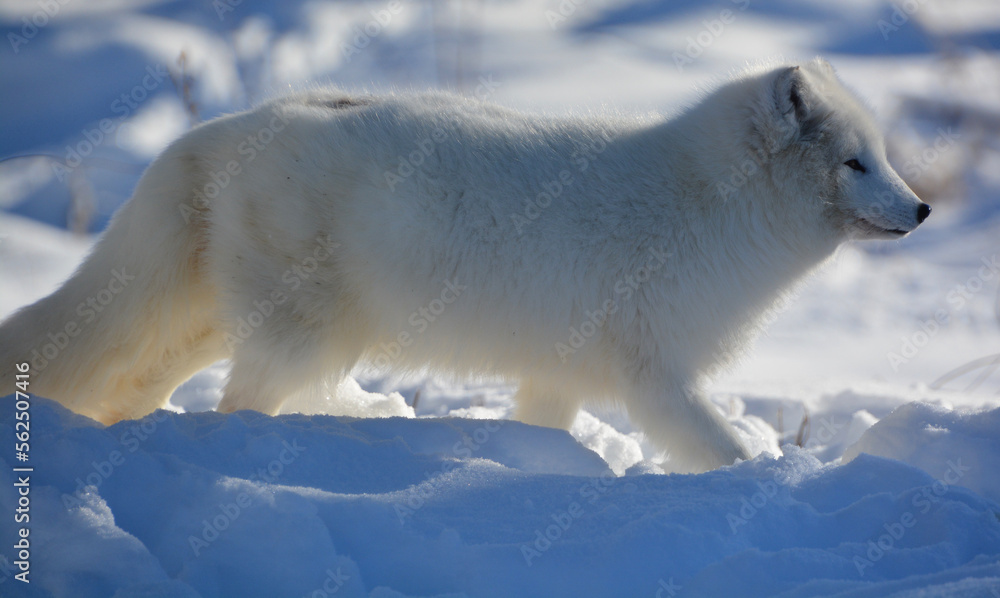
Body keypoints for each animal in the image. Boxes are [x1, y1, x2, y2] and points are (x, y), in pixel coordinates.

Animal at [0, 58, 928, 472]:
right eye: (855, 164)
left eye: (883, 158)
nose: (922, 210)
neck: (709, 205)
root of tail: (224, 127)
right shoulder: (657, 375)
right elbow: (721, 450)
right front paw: (769, 483)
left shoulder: (563, 372)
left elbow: (547, 430)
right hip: (302, 336)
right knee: (234, 408)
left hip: (212, 326)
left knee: (139, 388)